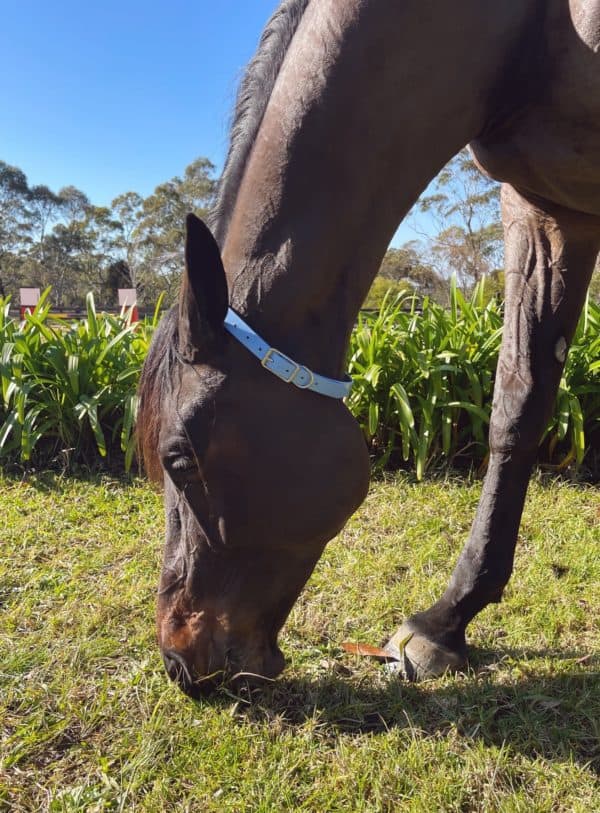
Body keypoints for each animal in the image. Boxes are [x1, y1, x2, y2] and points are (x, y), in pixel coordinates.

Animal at [138, 0, 600, 696]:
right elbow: (518, 406)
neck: (524, 31)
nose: (178, 660)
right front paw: (446, 623)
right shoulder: (550, 208)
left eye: (180, 460)